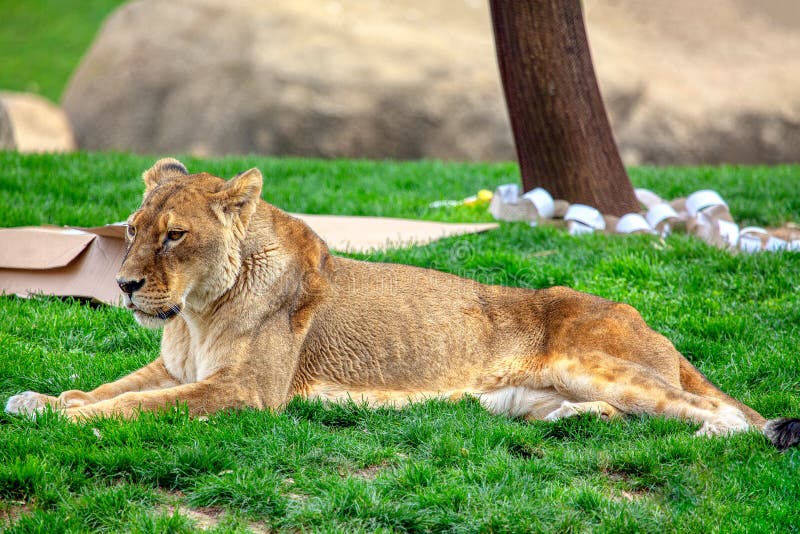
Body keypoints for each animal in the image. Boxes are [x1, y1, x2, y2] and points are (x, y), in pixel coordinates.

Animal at [6, 159, 799, 450]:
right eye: (133, 230)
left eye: (174, 236)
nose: (123, 286)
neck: (197, 314)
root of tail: (640, 316)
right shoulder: (177, 368)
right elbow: (114, 385)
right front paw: (43, 400)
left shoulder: (244, 391)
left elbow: (139, 405)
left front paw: (69, 420)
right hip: (511, 398)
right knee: (620, 413)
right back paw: (567, 422)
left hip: (599, 361)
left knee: (716, 409)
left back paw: (716, 433)